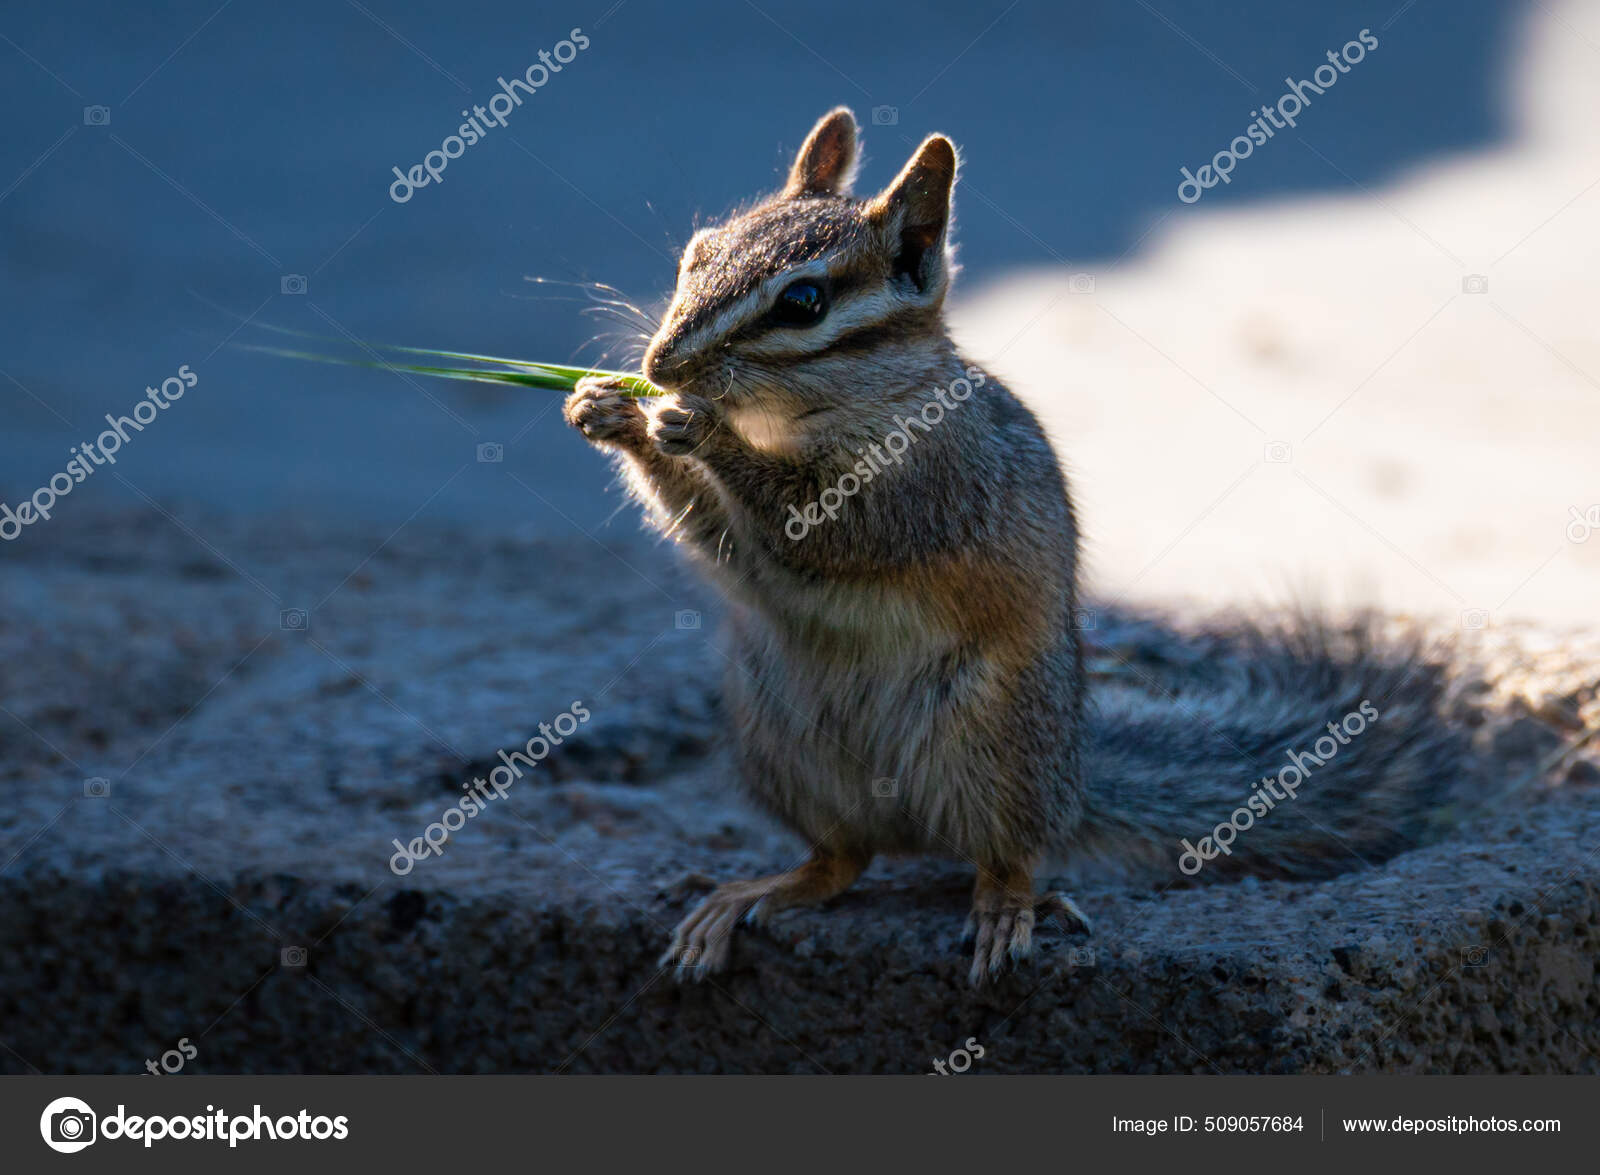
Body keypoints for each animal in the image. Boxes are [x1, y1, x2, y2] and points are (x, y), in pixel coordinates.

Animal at [563, 108, 1475, 984]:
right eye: (698, 251)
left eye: (805, 302)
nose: (661, 363)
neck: (795, 421)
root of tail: (1075, 775)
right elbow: (714, 535)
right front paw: (606, 408)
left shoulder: (923, 480)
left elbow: (816, 521)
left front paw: (690, 425)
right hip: (779, 742)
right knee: (841, 861)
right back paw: (750, 895)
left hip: (996, 742)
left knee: (1013, 853)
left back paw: (1007, 910)